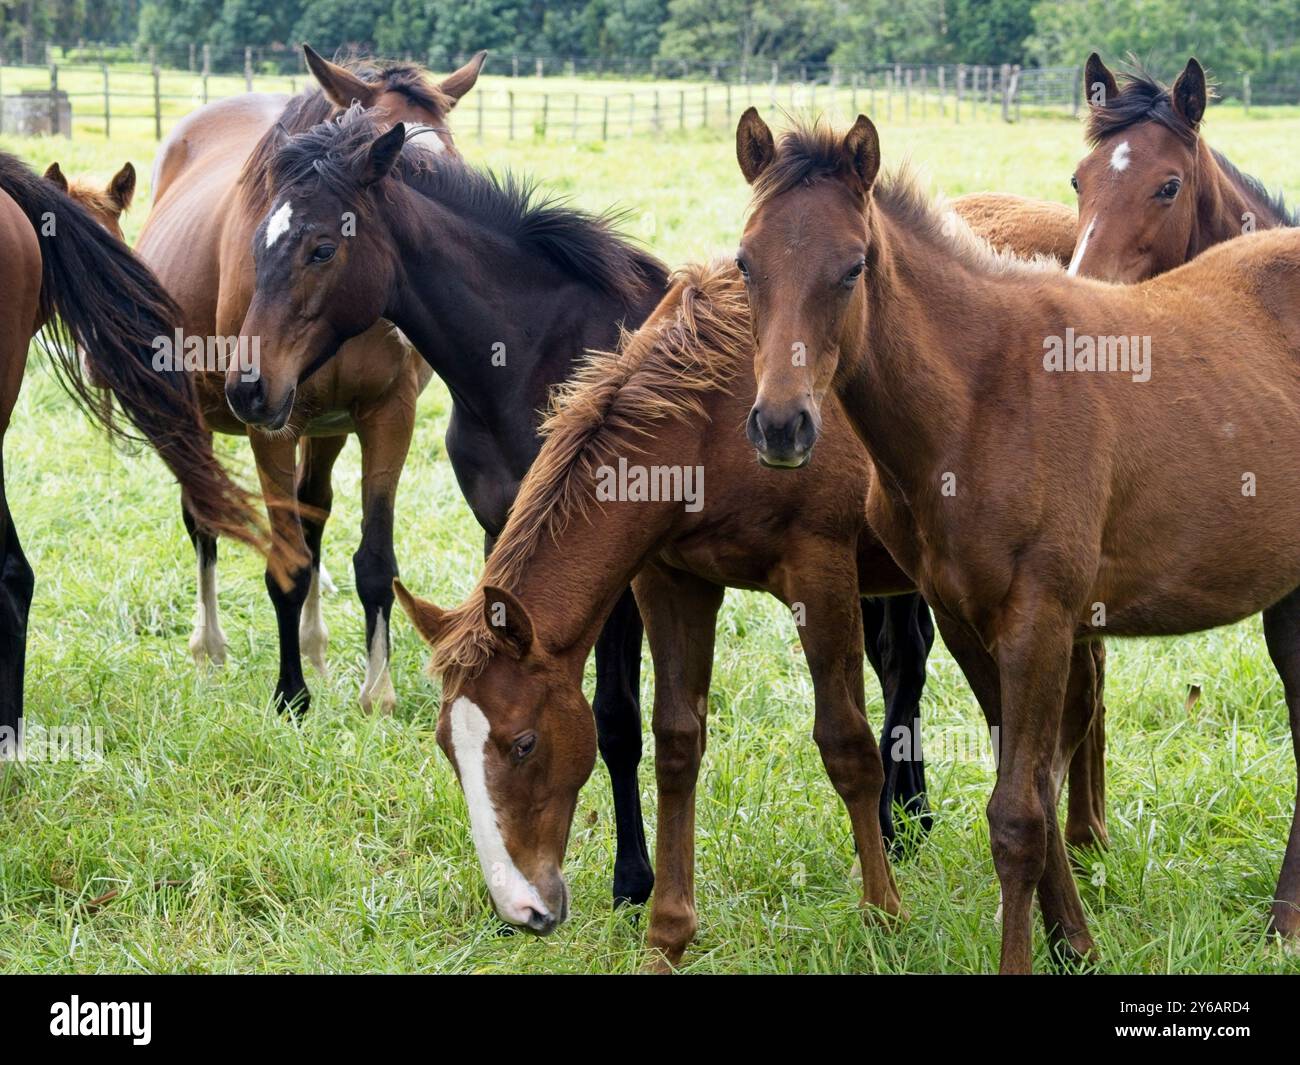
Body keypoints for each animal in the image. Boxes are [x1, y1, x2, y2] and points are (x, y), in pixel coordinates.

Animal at [135, 45, 485, 716]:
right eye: (391, 165)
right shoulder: (269, 420)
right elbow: (288, 564)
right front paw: (290, 697)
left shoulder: (387, 417)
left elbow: (372, 560)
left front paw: (377, 693)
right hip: (192, 417)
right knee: (203, 519)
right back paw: (209, 649)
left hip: (328, 429)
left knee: (313, 510)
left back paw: (316, 650)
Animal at [228, 104, 937, 905]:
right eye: (258, 244)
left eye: (321, 247)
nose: (249, 389)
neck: (531, 351)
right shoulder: (504, 539)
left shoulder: (624, 574)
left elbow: (618, 719)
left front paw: (633, 878)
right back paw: (909, 816)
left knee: (905, 663)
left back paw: (903, 821)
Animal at [735, 110, 1300, 973]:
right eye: (745, 263)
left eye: (853, 266)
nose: (781, 425)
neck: (982, 398)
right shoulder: (965, 618)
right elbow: (1031, 792)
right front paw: (1076, 942)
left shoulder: (1041, 619)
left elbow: (1018, 816)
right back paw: (1284, 919)